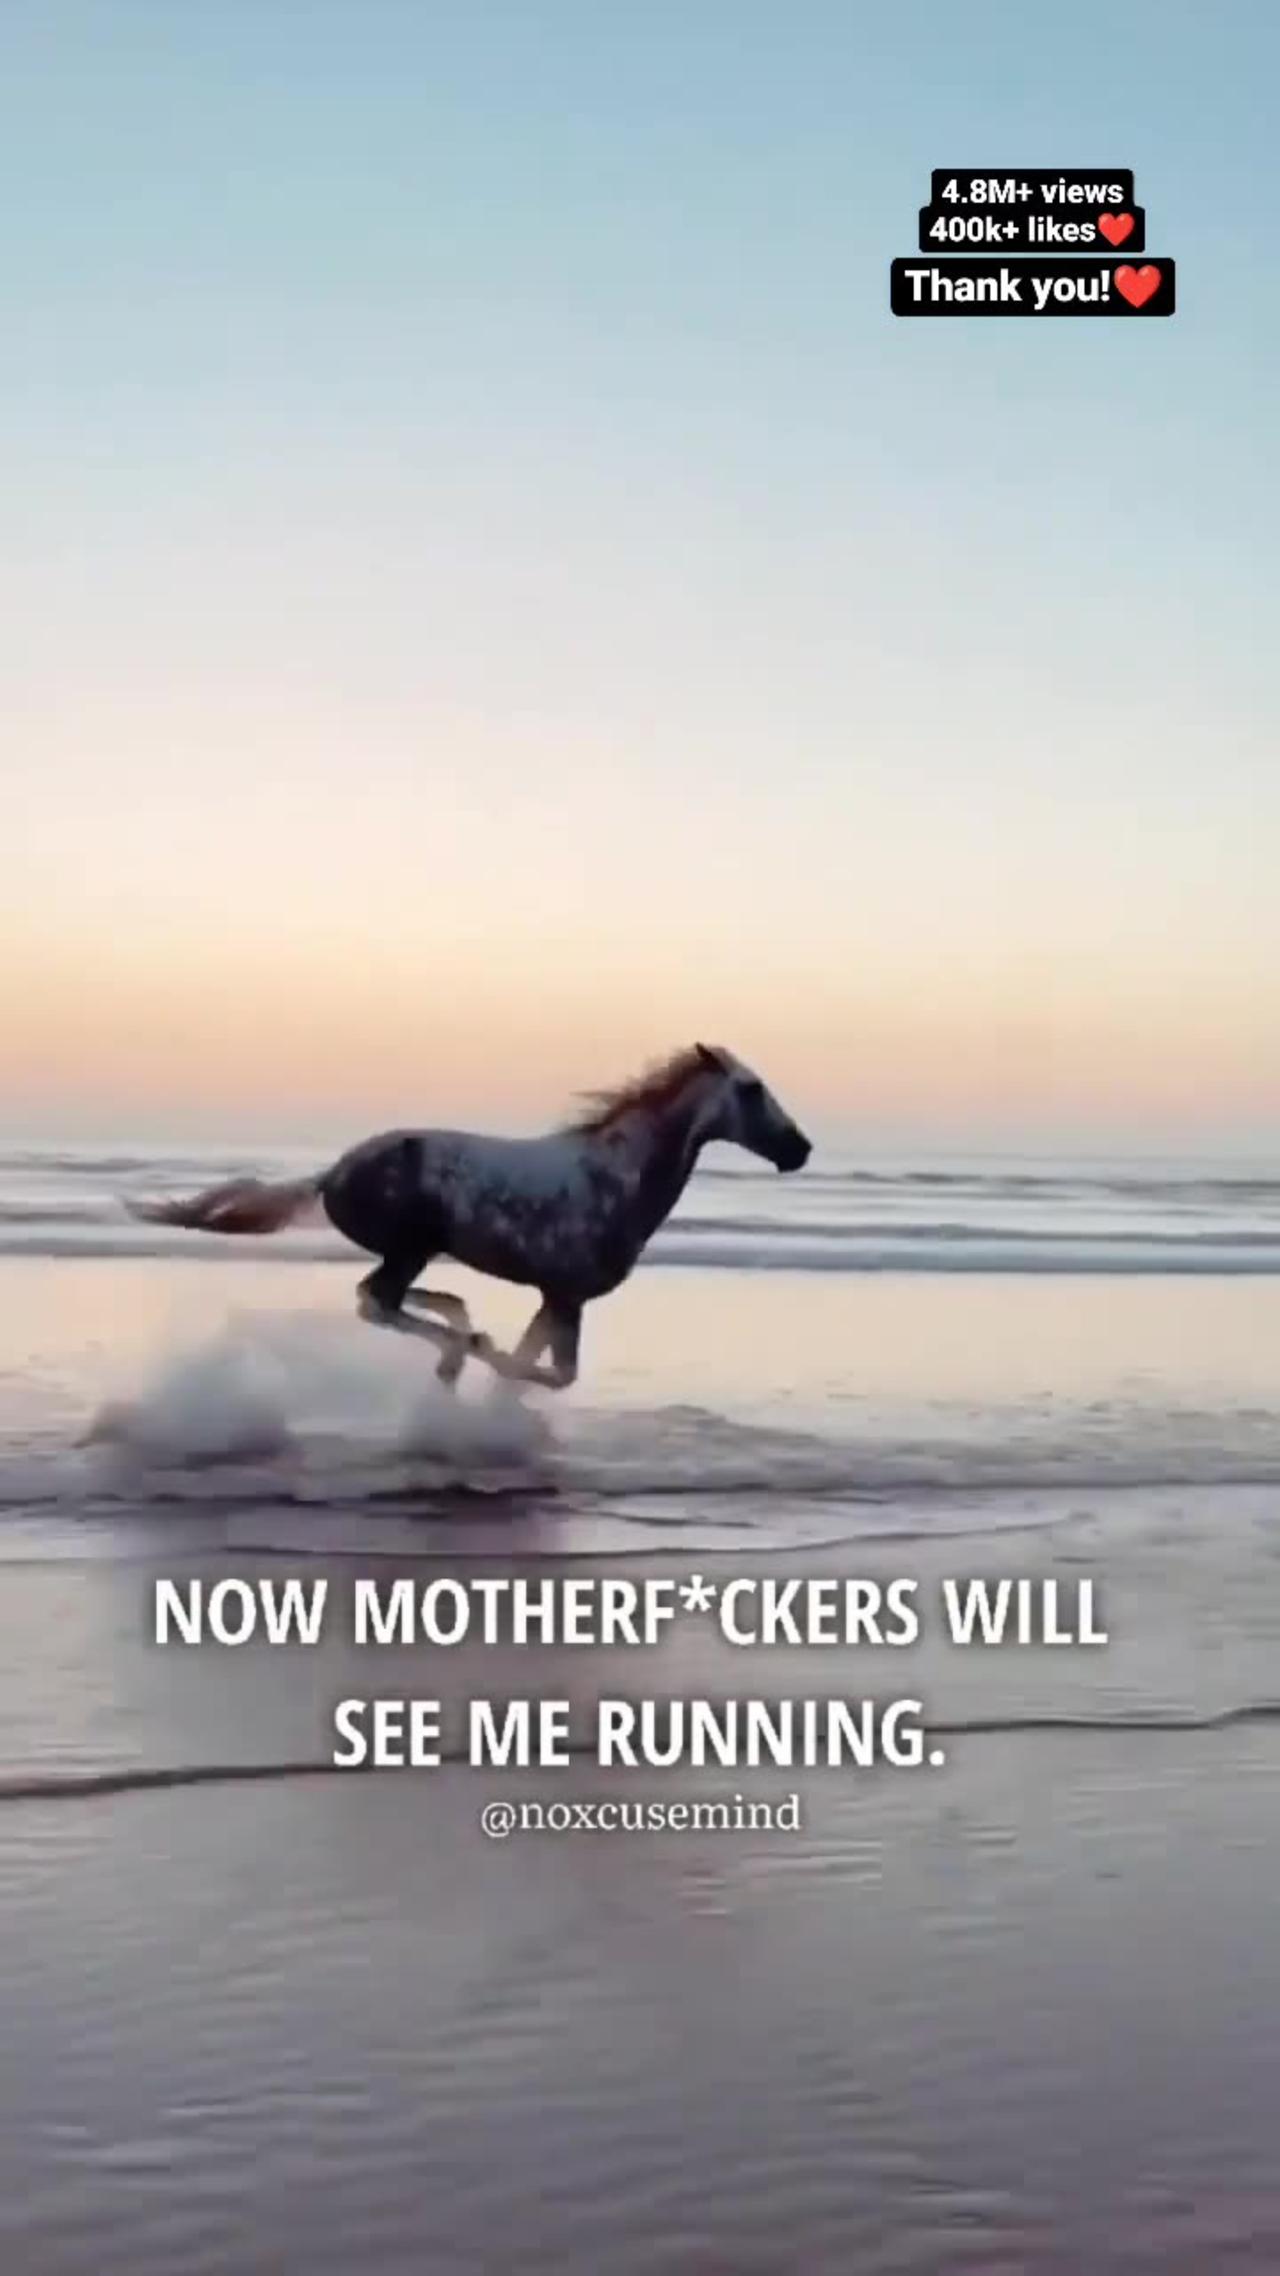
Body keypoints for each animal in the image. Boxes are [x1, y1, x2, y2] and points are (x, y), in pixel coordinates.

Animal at [125, 1044, 811, 1391]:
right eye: (750, 1090)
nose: (800, 1149)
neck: (614, 1177)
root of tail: (333, 1174)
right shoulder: (567, 1295)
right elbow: (549, 1373)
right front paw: (486, 1358)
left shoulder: (555, 1297)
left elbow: (539, 1367)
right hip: (409, 1248)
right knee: (377, 1301)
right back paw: (455, 1352)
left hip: (416, 1250)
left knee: (389, 1298)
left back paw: (459, 1335)